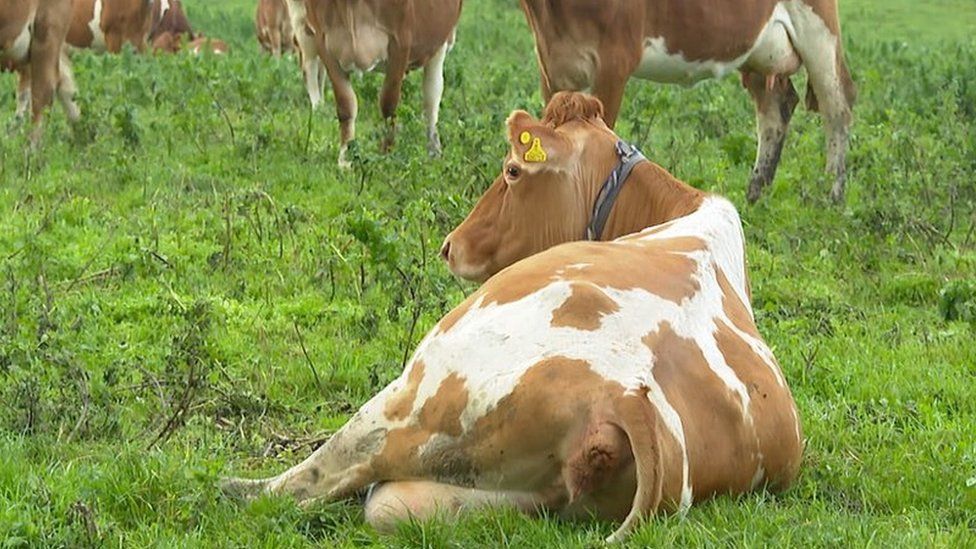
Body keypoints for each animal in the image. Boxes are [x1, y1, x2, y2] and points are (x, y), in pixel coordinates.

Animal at [220, 93, 803, 542]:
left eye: (512, 170)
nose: (451, 246)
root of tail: (625, 397)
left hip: (414, 394)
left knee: (312, 480)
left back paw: (237, 488)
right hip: (510, 496)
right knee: (389, 504)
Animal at [302, 0, 463, 166]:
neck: (350, 5)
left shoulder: (401, 42)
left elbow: (389, 105)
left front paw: (387, 155)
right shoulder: (323, 43)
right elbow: (345, 105)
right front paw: (345, 160)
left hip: (440, 42)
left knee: (431, 100)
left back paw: (434, 151)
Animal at [518, 0, 856, 203]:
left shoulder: (614, 60)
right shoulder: (550, 65)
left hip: (819, 30)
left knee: (838, 103)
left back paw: (832, 194)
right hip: (760, 50)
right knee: (776, 108)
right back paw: (755, 194)